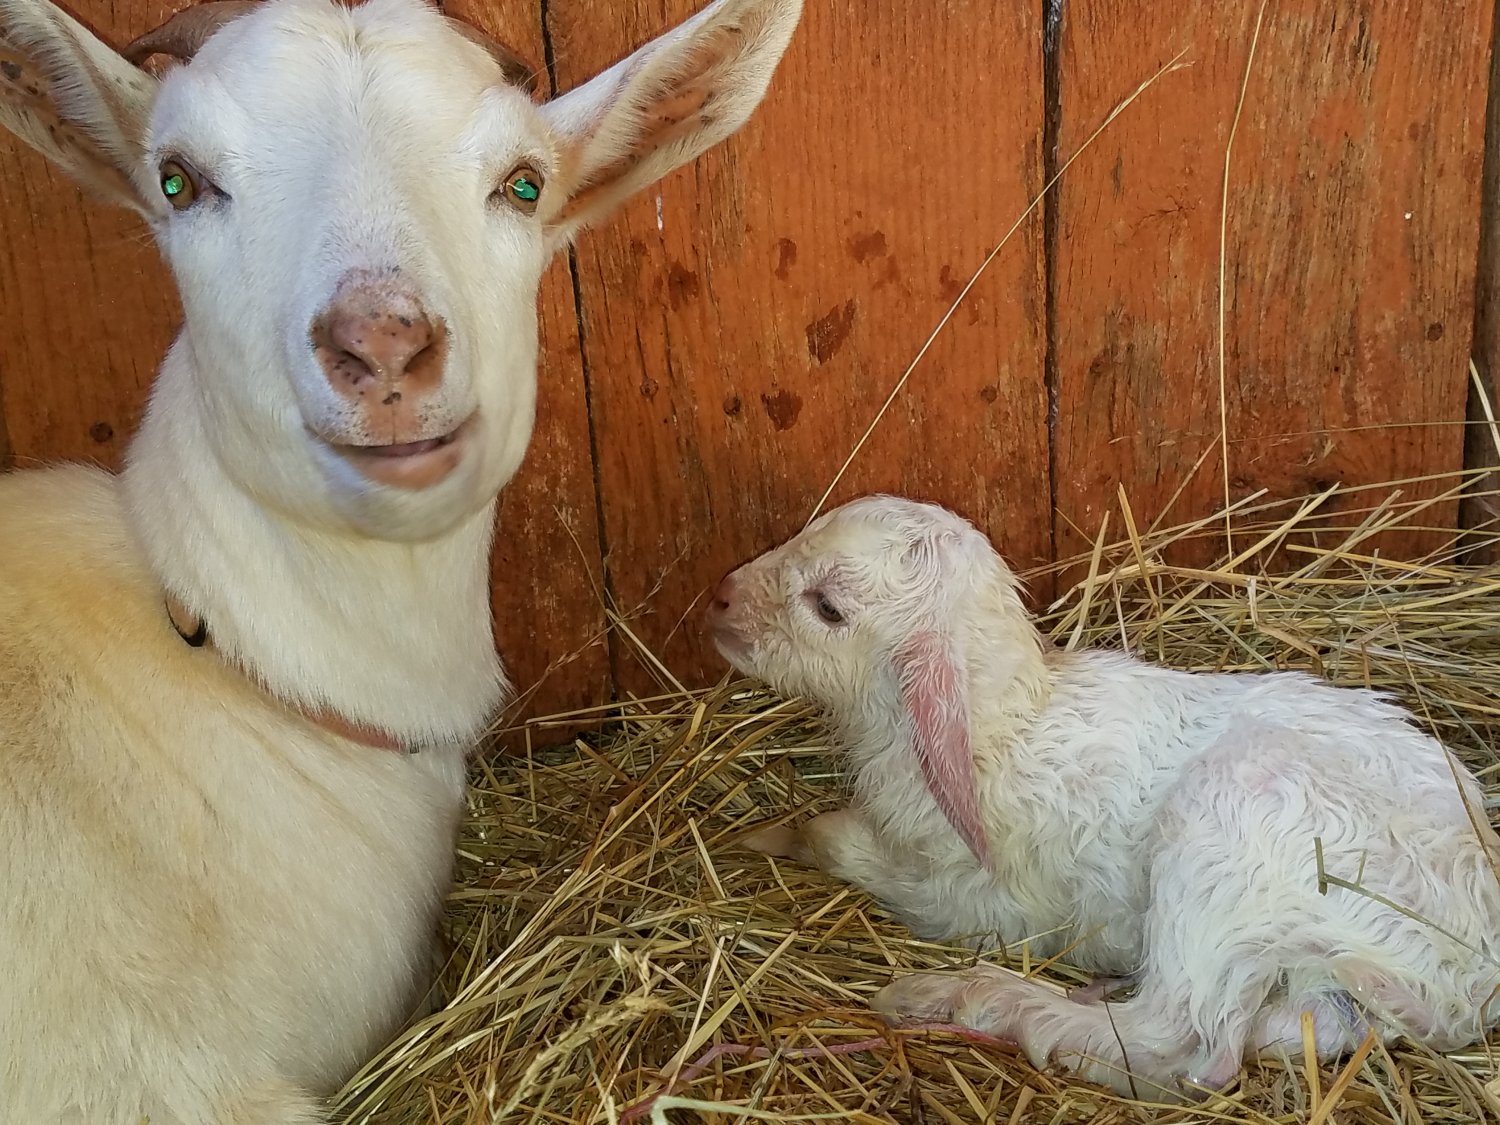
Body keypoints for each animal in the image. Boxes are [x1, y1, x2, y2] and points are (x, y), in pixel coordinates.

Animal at [707, 493, 1500, 1101]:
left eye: (827, 607)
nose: (720, 599)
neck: (1000, 724)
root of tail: (1465, 980)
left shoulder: (969, 899)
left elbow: (839, 839)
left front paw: (764, 837)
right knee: (1295, 1026)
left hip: (1229, 834)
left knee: (1189, 1043)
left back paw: (970, 999)